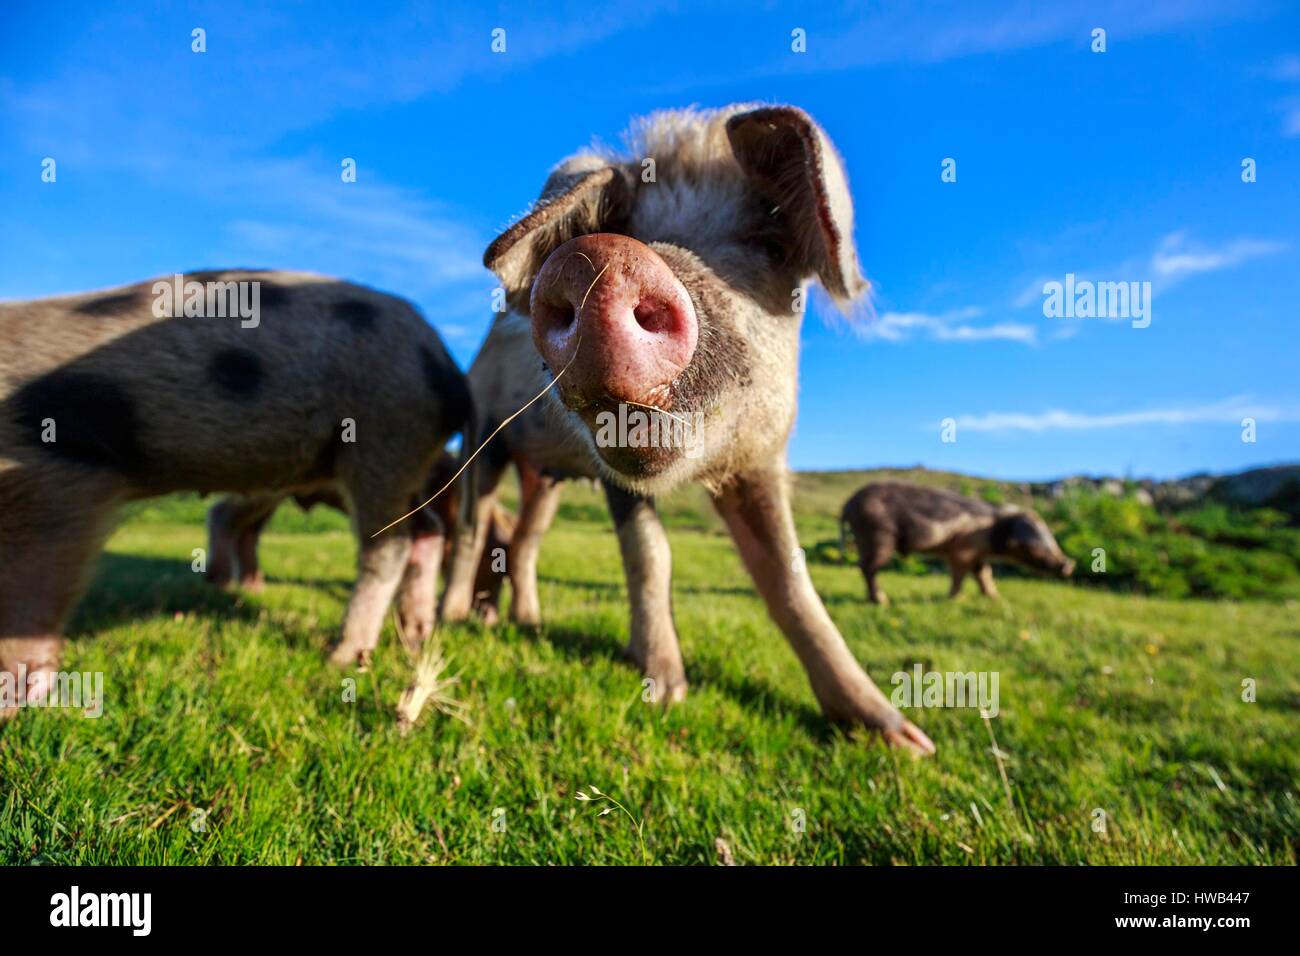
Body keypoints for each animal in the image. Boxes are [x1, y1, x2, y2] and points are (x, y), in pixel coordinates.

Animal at [0, 270, 471, 713]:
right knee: (427, 530)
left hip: (384, 439)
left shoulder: (57, 474)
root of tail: (449, 370)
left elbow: (31, 593)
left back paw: (341, 656)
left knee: (389, 546)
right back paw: (415, 635)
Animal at [459, 103, 935, 755]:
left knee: (524, 538)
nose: (603, 257)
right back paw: (449, 619)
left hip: (545, 477)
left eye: (770, 243)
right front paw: (665, 692)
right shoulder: (612, 471)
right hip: (483, 432)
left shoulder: (761, 459)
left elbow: (790, 581)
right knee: (473, 526)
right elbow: (650, 554)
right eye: (629, 227)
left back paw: (526, 622)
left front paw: (907, 742)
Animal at [840, 482, 1076, 606]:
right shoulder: (962, 549)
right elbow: (959, 574)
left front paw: (994, 597)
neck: (994, 528)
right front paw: (956, 599)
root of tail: (849, 503)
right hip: (877, 535)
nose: (1068, 564)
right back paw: (881, 601)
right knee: (868, 567)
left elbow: (984, 573)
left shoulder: (978, 554)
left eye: (1051, 539)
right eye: (1037, 544)